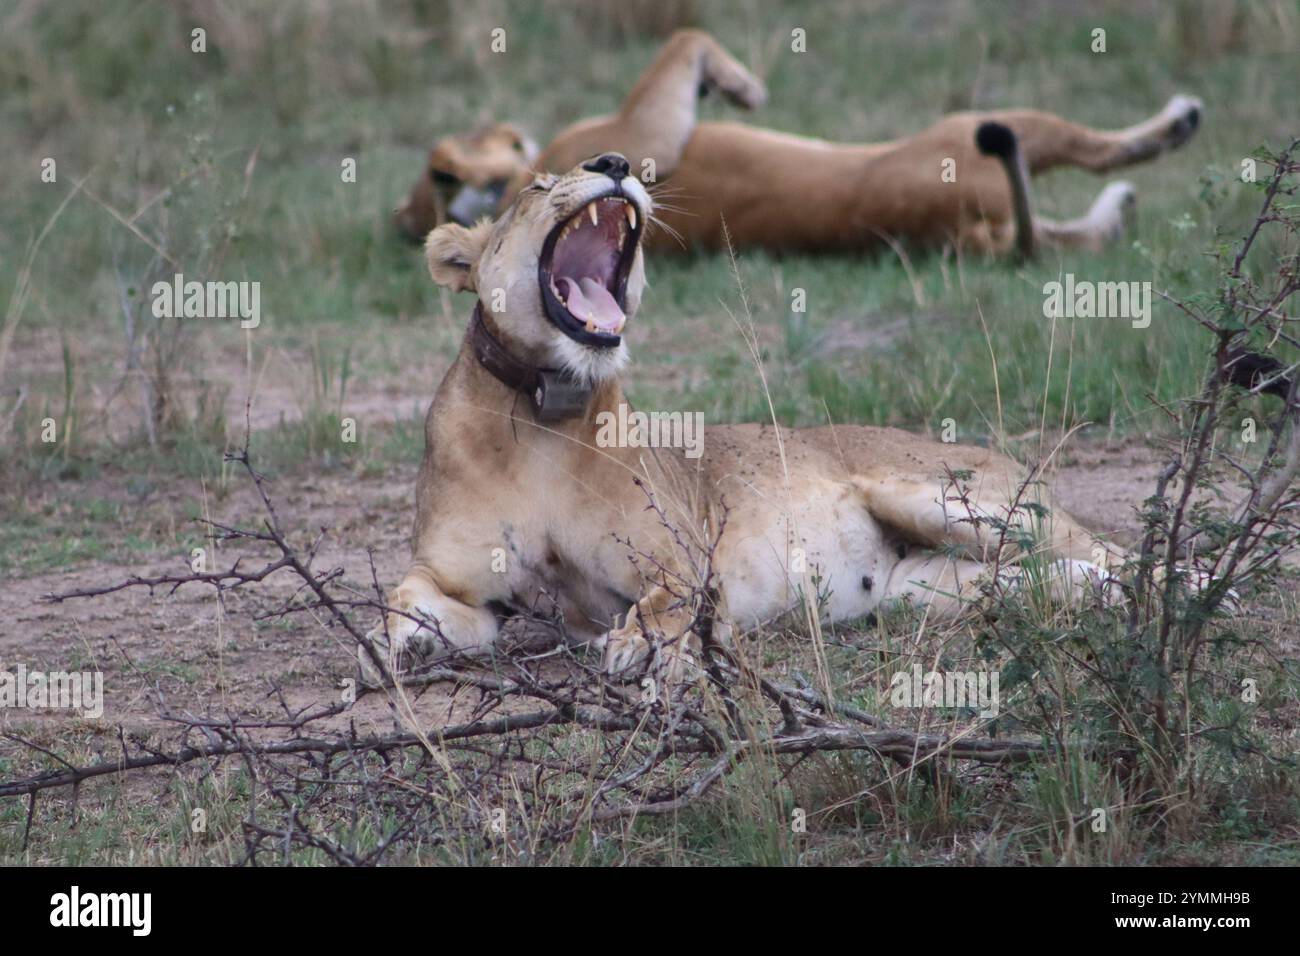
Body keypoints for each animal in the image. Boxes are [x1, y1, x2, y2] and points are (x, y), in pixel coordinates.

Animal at [364, 153, 1197, 686]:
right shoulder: (457, 578)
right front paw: (394, 646)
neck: (541, 410)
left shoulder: (683, 555)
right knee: (1061, 574)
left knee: (1107, 548)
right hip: (932, 586)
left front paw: (641, 649)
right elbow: (405, 596)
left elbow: (667, 602)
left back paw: (1186, 584)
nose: (616, 160)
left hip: (954, 501)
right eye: (537, 185)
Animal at [394, 29, 1202, 258]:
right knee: (1095, 150)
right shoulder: (639, 134)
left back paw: (1124, 206)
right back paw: (1178, 121)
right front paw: (743, 87)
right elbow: (685, 36)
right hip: (989, 127)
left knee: (1074, 235)